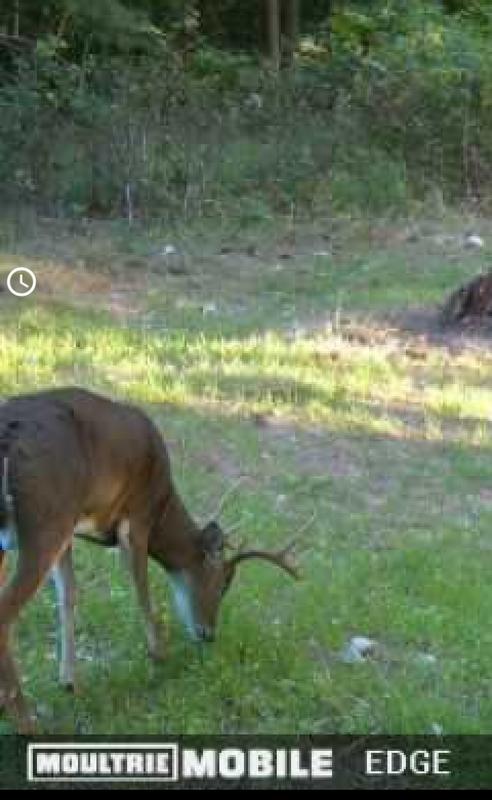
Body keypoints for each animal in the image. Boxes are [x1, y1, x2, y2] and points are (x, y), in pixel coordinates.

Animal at [0, 387, 302, 733]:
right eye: (223, 582)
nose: (208, 634)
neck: (163, 503)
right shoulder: (138, 516)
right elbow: (142, 591)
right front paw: (159, 655)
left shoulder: (72, 531)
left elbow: (69, 596)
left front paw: (70, 681)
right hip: (45, 520)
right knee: (4, 615)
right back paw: (26, 722)